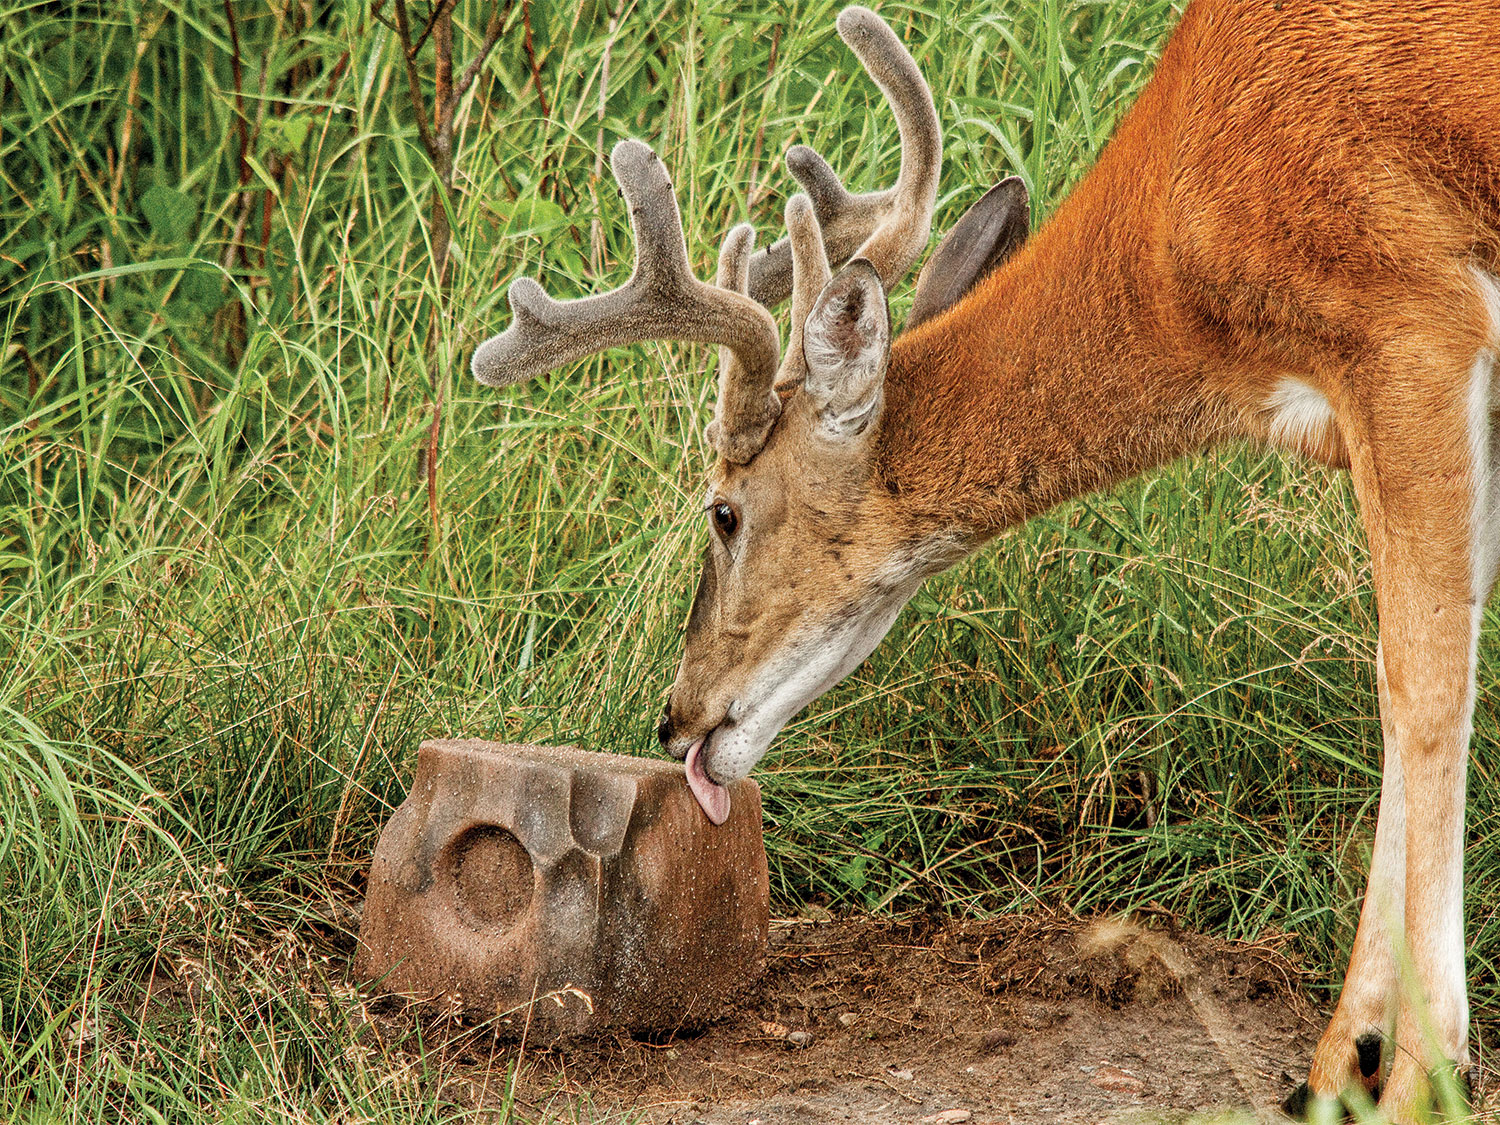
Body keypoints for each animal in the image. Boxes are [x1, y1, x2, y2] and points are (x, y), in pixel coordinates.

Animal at [471, 2, 1500, 1119]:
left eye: (724, 511)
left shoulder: (1408, 320)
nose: (676, 717)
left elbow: (1423, 685)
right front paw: (1341, 1063)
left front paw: (1420, 1073)